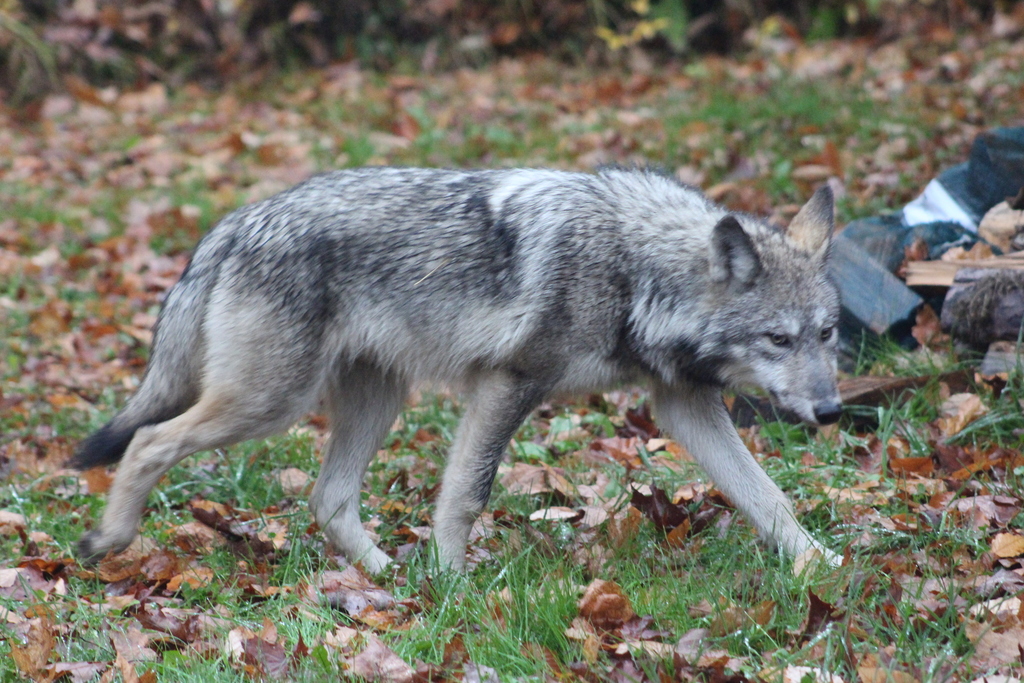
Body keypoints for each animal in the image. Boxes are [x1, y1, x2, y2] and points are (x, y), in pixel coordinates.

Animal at [70, 167, 842, 573]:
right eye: (778, 338)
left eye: (827, 335)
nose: (832, 411)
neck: (634, 269)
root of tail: (234, 223)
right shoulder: (509, 384)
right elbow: (467, 494)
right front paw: (453, 583)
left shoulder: (683, 403)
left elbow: (769, 495)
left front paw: (820, 569)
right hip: (270, 405)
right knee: (149, 441)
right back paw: (109, 541)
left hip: (374, 401)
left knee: (328, 500)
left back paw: (388, 582)